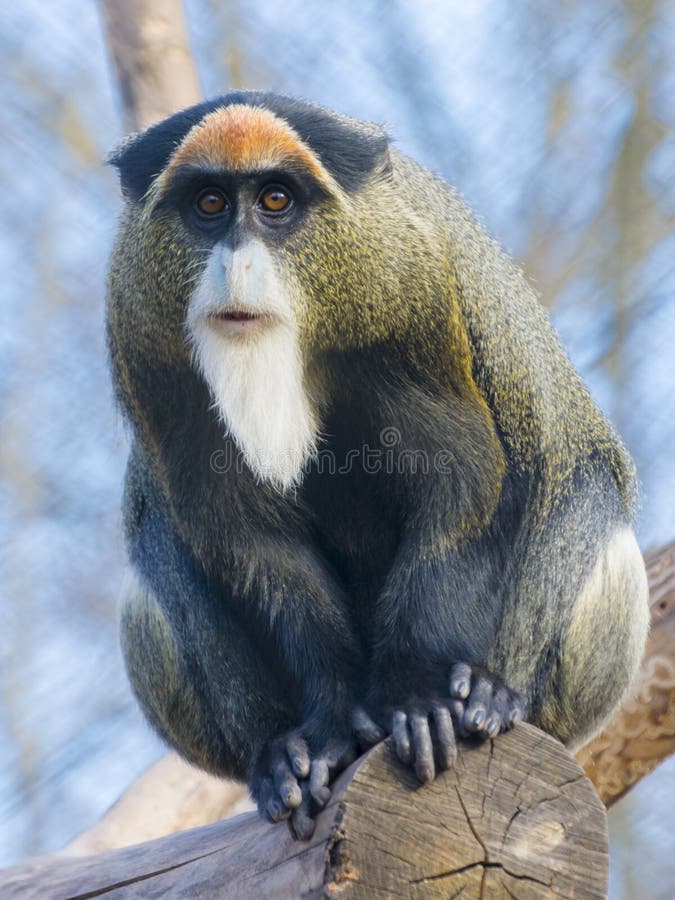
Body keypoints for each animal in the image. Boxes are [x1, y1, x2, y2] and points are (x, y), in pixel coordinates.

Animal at [107, 92, 650, 840]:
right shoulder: (148, 352)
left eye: (275, 200)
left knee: (585, 496)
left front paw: (418, 700)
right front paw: (326, 730)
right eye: (209, 203)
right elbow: (248, 541)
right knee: (160, 545)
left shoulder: (412, 303)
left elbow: (463, 485)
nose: (236, 262)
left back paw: (491, 695)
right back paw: (274, 753)